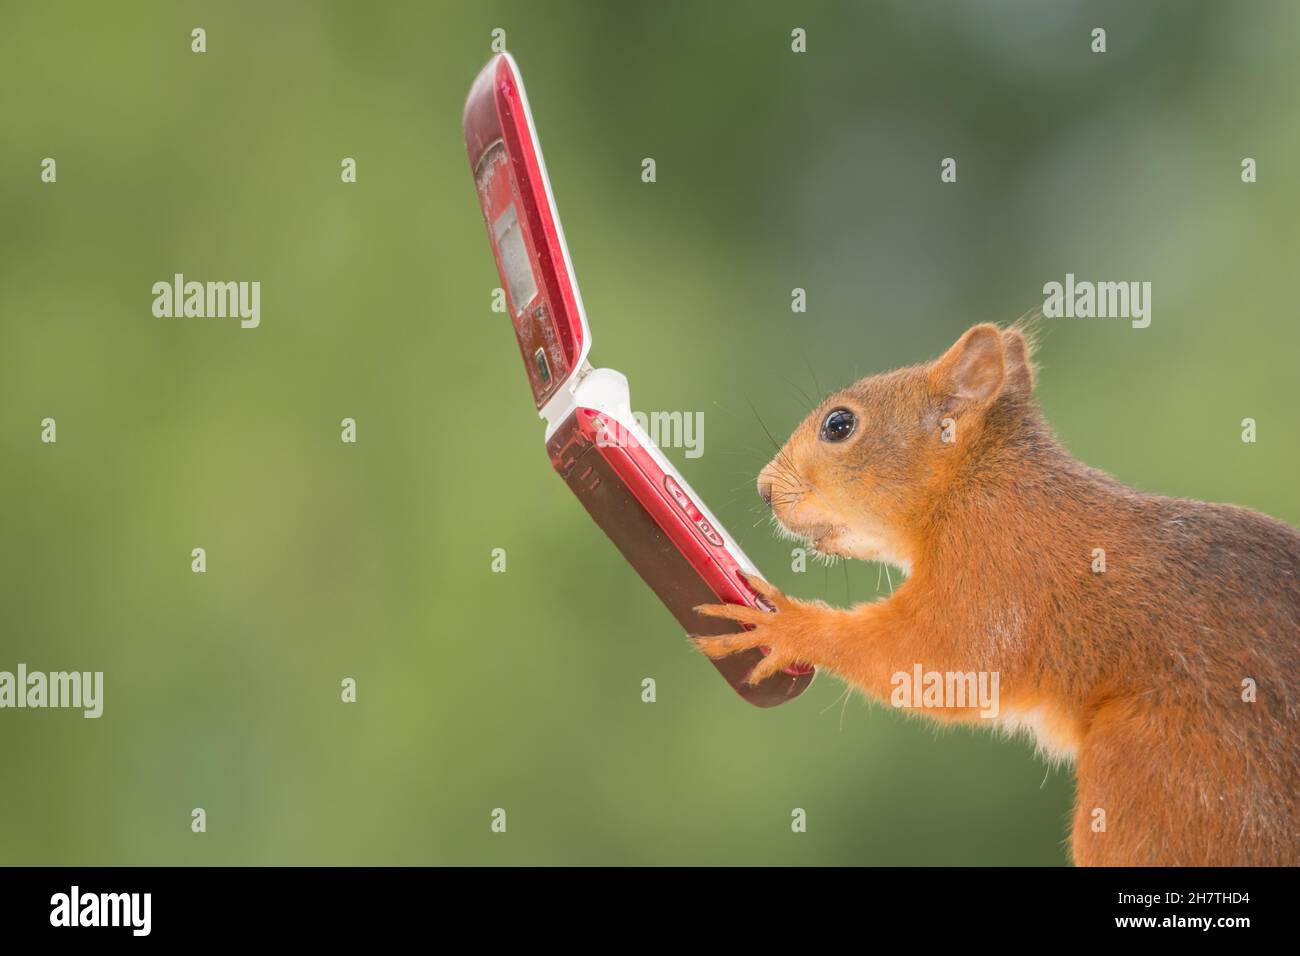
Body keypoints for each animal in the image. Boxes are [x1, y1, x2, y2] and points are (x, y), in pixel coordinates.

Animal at [695, 323, 1299, 866]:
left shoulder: (996, 570)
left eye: (839, 425)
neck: (974, 486)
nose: (765, 489)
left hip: (1163, 783)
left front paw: (787, 625)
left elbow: (939, 658)